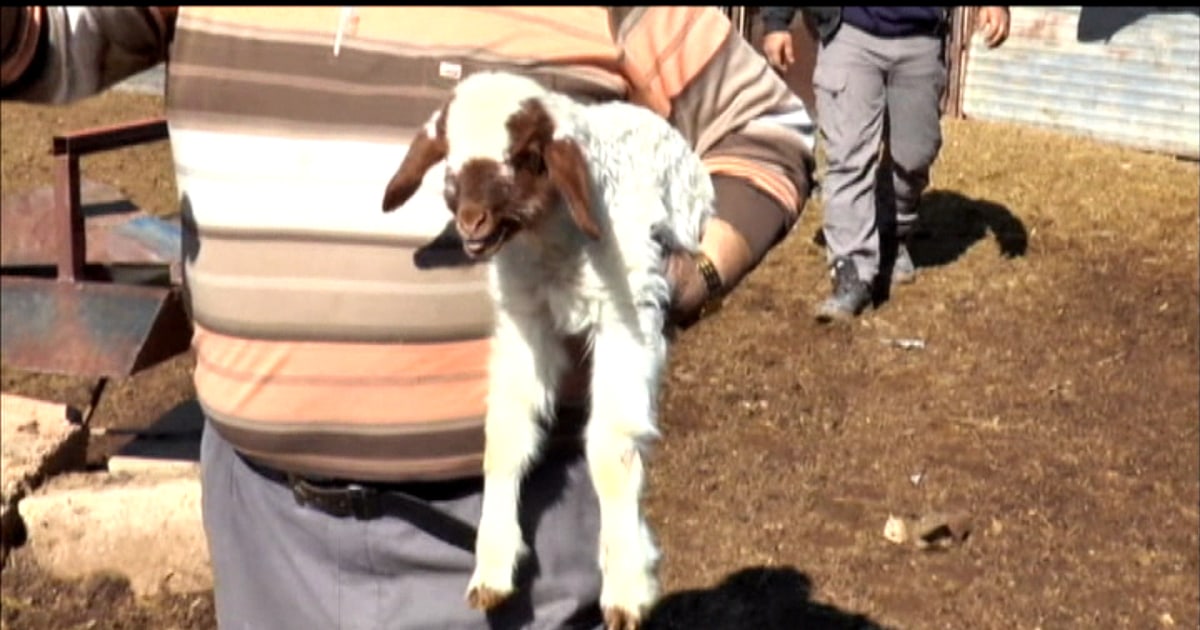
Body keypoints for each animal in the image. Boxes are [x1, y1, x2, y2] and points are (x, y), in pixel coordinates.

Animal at [380, 70, 715, 630]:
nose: (472, 221)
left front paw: (627, 581)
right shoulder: (525, 317)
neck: (554, 247)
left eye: (525, 156)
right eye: (449, 160)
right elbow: (506, 434)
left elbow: (610, 449)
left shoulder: (629, 310)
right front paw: (493, 565)